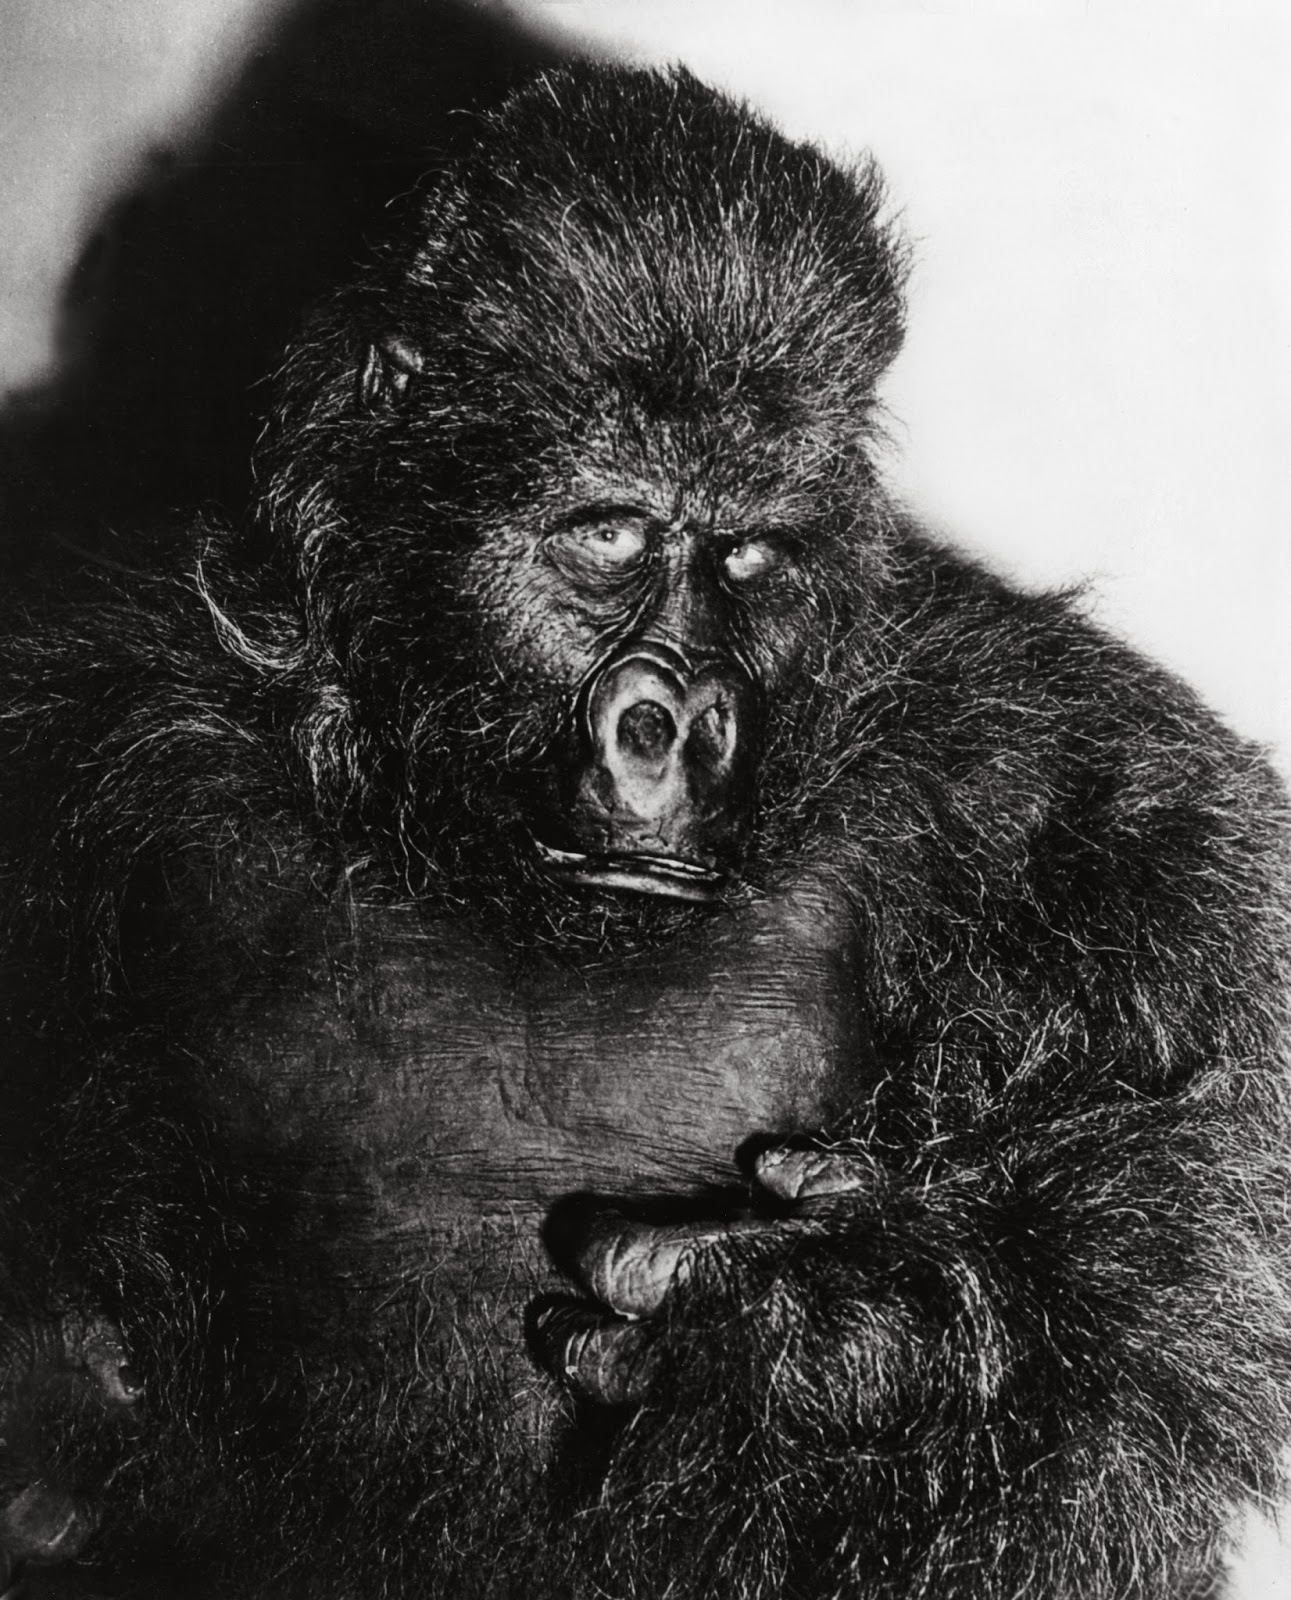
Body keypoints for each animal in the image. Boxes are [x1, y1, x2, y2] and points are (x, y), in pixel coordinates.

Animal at [1, 62, 1289, 1600]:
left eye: (751, 556)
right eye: (608, 534)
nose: (683, 723)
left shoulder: (1013, 744)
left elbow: (1212, 1156)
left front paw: (860, 1316)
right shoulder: (86, 724)